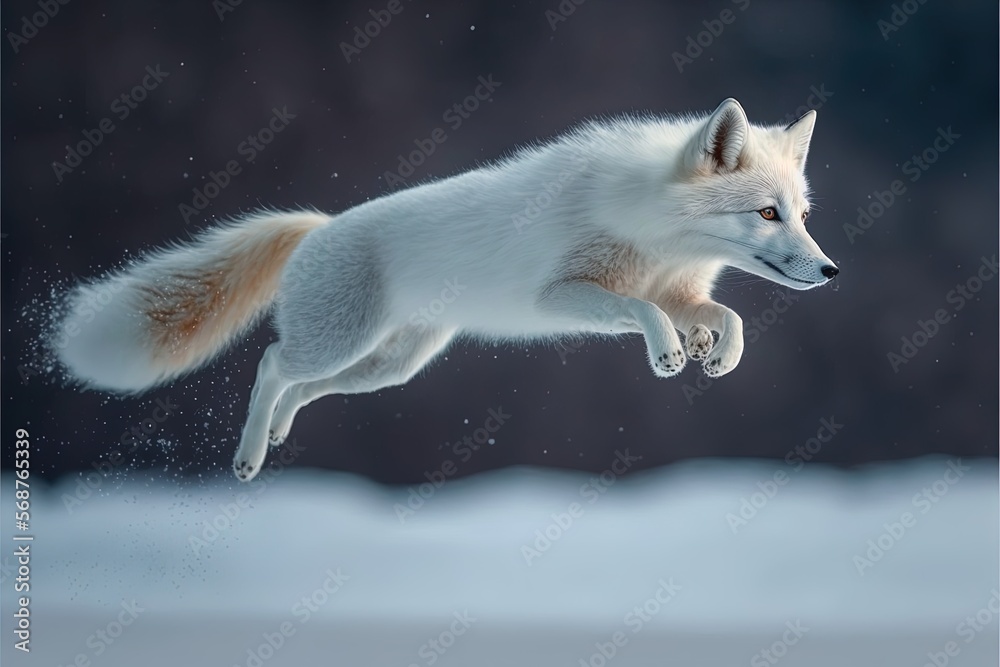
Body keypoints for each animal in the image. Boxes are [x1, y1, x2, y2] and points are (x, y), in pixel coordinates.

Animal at [53, 98, 838, 482]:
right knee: (273, 363)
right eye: (766, 213)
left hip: (390, 365)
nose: (831, 271)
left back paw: (275, 434)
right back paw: (248, 456)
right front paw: (670, 353)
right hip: (342, 343)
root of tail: (319, 227)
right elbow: (641, 310)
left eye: (801, 213)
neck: (653, 230)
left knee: (302, 388)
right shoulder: (562, 296)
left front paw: (717, 351)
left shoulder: (680, 288)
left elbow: (727, 314)